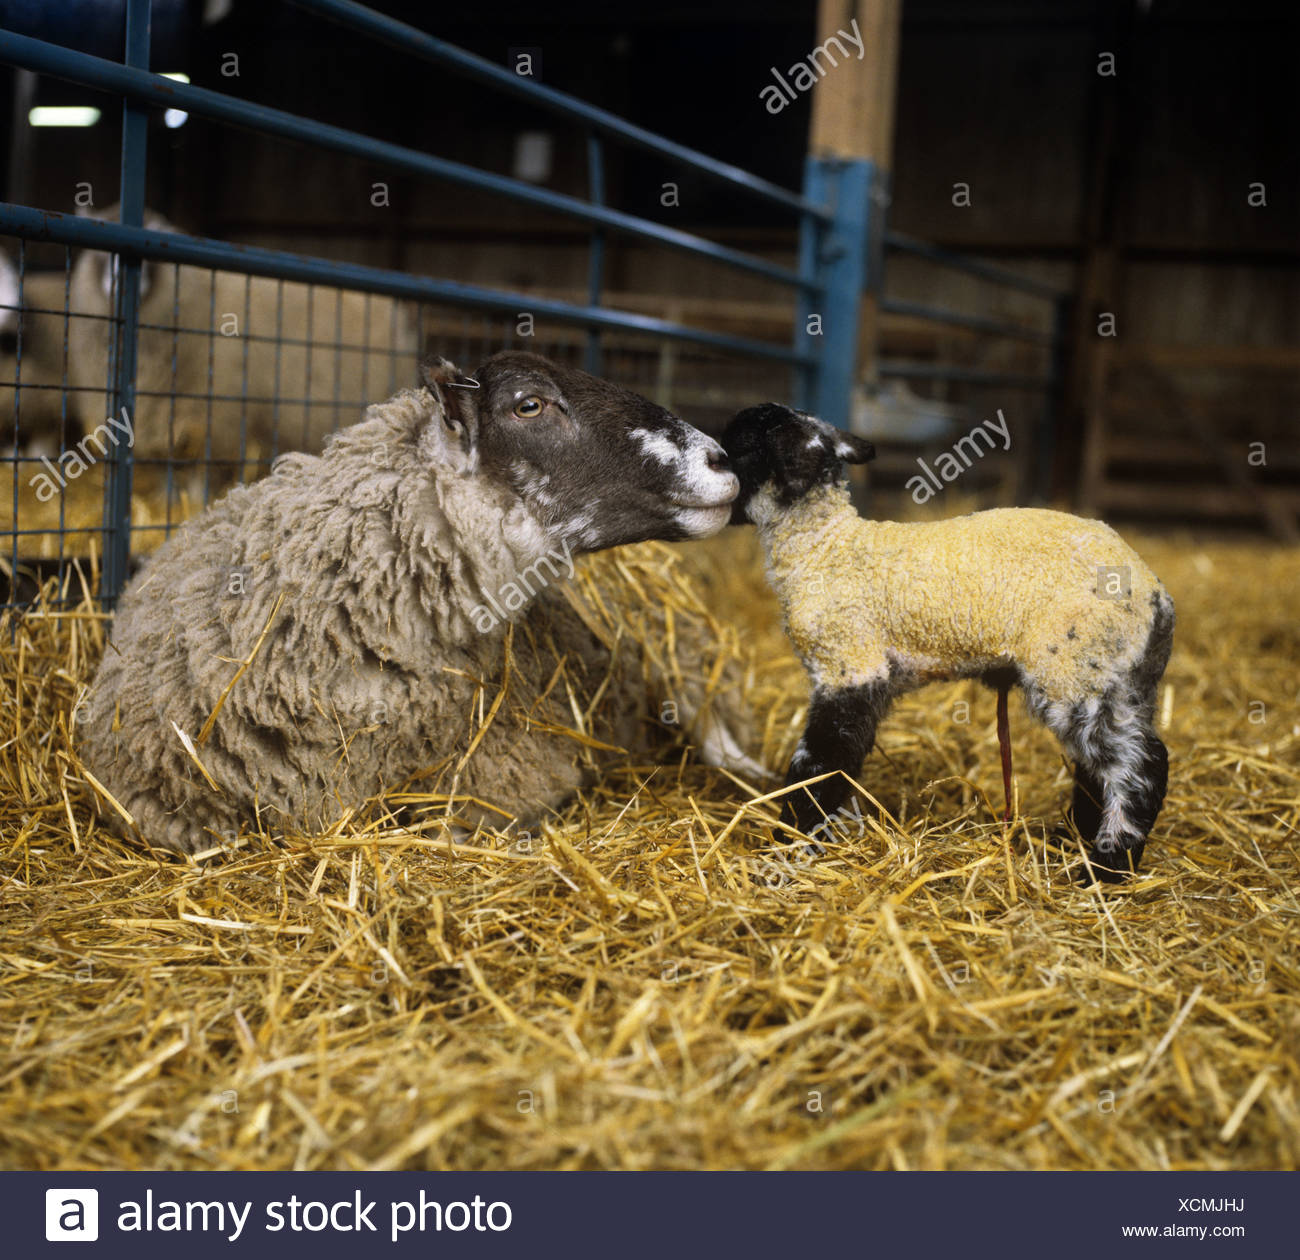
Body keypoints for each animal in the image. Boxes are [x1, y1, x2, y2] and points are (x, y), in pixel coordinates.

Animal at [720, 402, 1175, 882]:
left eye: (741, 447)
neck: (826, 549)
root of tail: (1157, 595)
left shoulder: (849, 664)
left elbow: (820, 760)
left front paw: (791, 842)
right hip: (1122, 679)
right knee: (1100, 765)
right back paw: (1074, 842)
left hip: (1076, 668)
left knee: (1140, 764)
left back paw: (1108, 866)